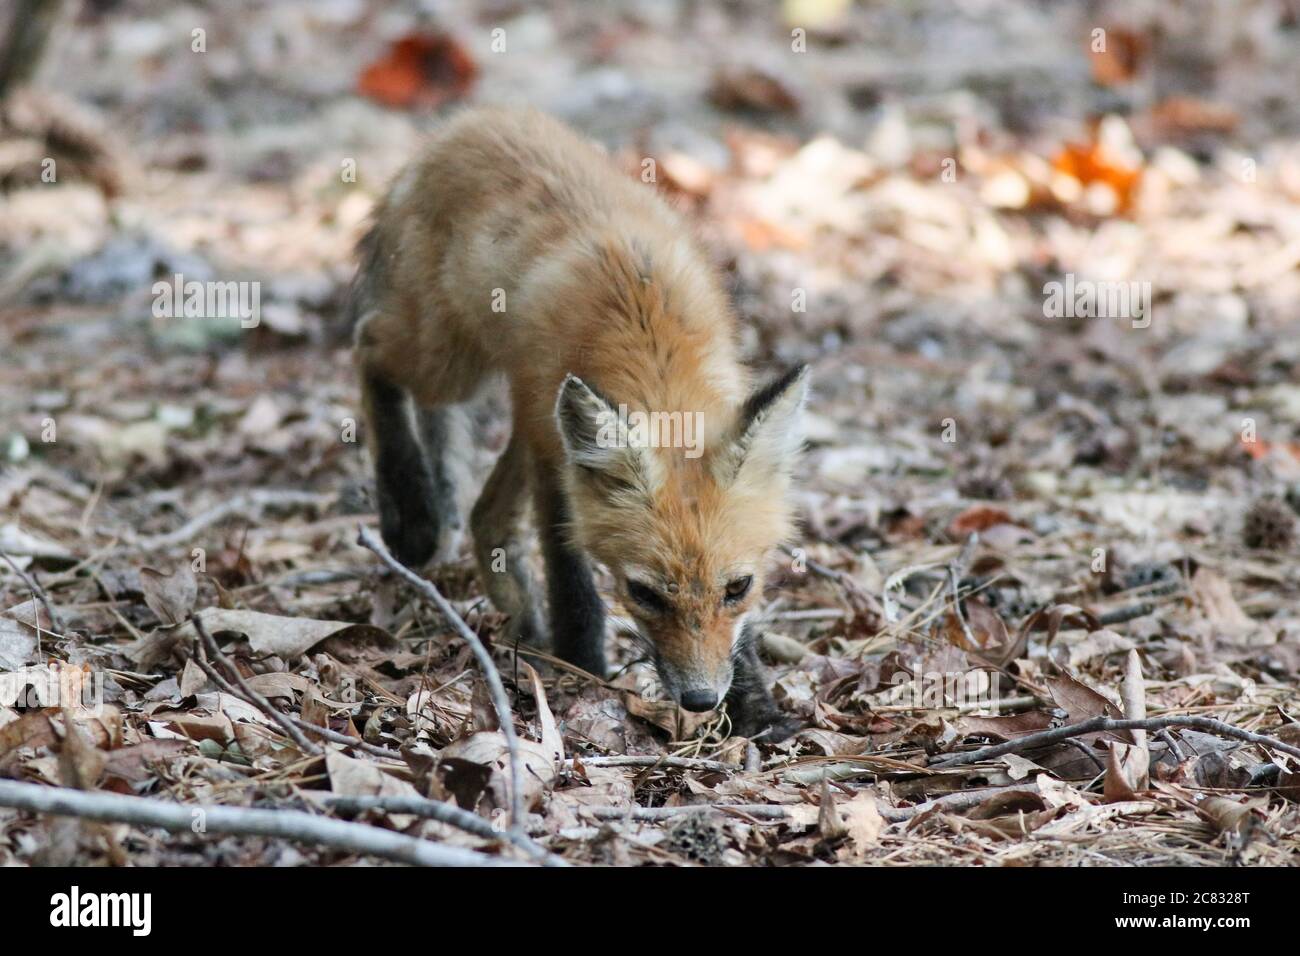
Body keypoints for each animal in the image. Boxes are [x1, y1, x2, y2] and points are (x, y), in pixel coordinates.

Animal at [349, 107, 809, 739]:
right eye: (644, 594)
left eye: (737, 587)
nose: (699, 699)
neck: (647, 334)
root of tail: (461, 125)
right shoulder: (555, 455)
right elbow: (571, 576)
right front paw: (582, 663)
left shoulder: (552, 430)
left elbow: (742, 637)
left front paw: (756, 708)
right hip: (452, 364)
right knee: (368, 344)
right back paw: (411, 511)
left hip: (512, 401)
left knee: (484, 514)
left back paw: (515, 612)